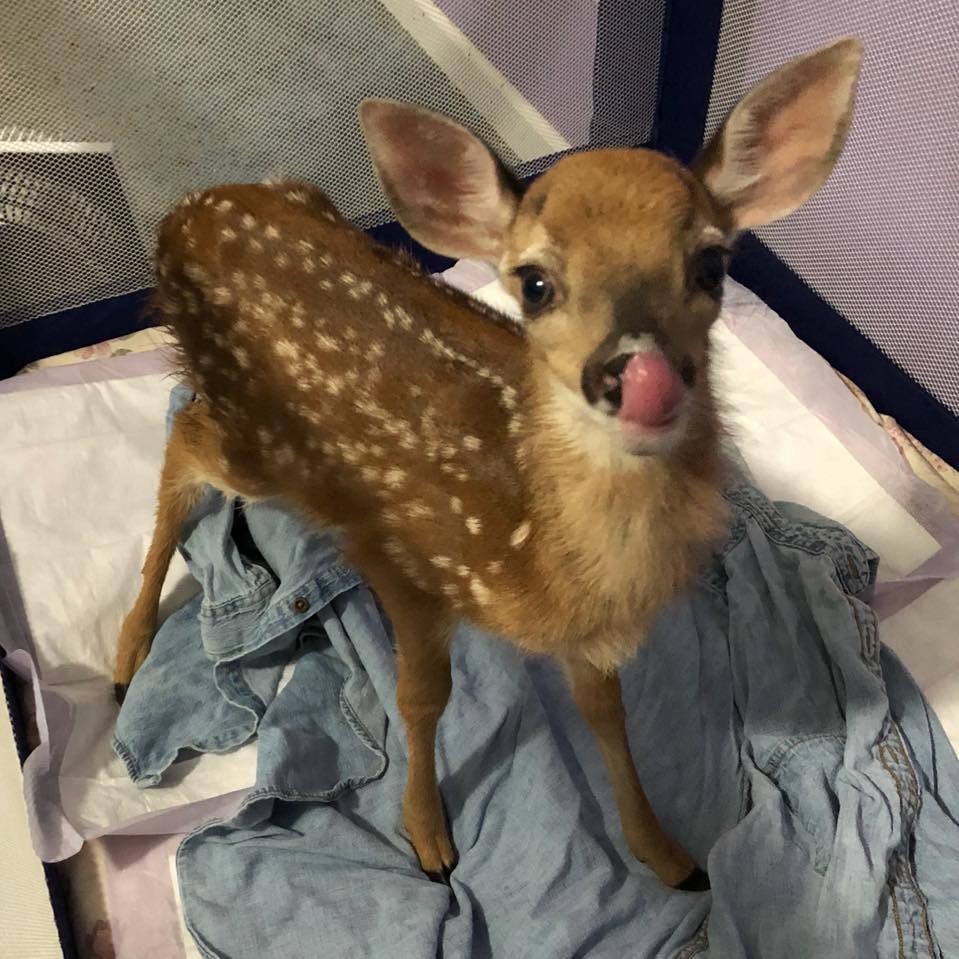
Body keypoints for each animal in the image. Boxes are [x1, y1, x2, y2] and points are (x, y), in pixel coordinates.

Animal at [113, 38, 863, 889]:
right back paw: (127, 650)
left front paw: (666, 853)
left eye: (711, 264)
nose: (635, 372)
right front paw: (427, 837)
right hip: (256, 443)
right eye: (533, 283)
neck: (529, 543)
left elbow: (606, 712)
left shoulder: (583, 634)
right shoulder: (403, 561)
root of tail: (185, 212)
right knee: (184, 433)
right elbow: (421, 697)